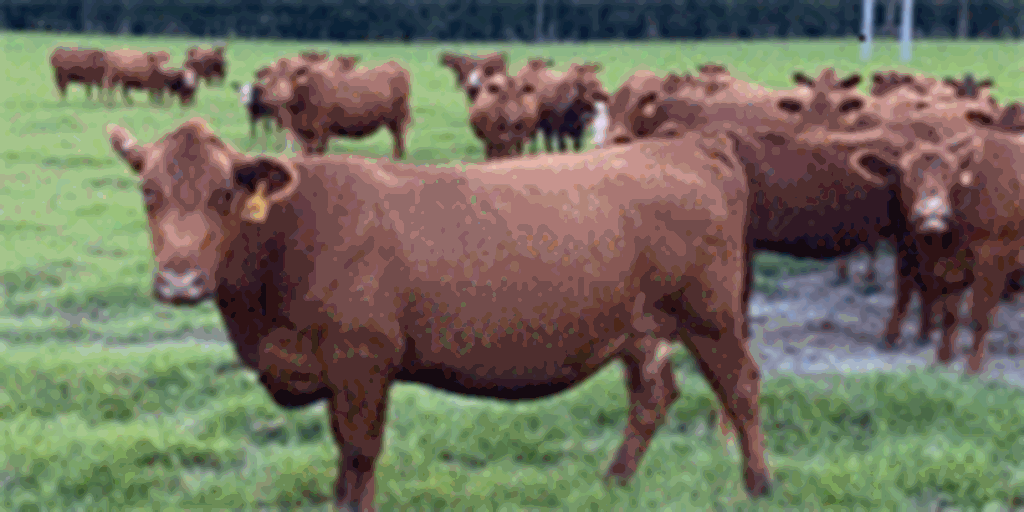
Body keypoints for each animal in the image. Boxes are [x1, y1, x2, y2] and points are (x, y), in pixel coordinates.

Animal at [105, 117, 773, 510]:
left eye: (225, 194)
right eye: (147, 192)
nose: (180, 281)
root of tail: (689, 145)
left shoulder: (362, 363)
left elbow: (358, 454)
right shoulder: (330, 372)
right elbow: (339, 456)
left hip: (711, 317)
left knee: (741, 387)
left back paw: (759, 484)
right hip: (640, 330)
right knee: (653, 396)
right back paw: (614, 481)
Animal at [257, 60, 412, 158]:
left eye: (292, 76)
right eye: (272, 78)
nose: (279, 96)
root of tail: (394, 64)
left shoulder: (322, 129)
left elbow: (319, 152)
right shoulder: (301, 133)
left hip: (399, 118)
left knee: (399, 142)